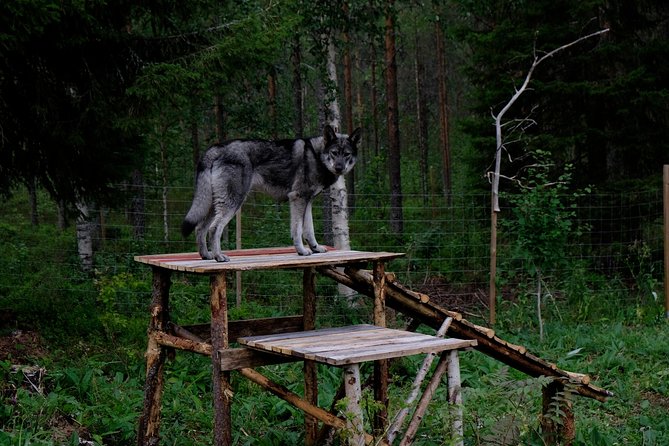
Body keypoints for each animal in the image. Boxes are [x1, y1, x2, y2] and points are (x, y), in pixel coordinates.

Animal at [181, 125, 361, 262]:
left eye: (346, 154)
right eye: (334, 153)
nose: (339, 168)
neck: (317, 156)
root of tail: (215, 149)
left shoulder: (307, 201)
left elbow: (309, 230)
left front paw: (315, 248)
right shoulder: (298, 199)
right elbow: (297, 229)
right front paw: (302, 251)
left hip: (214, 205)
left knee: (200, 228)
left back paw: (206, 255)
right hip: (232, 203)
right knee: (214, 229)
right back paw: (219, 256)